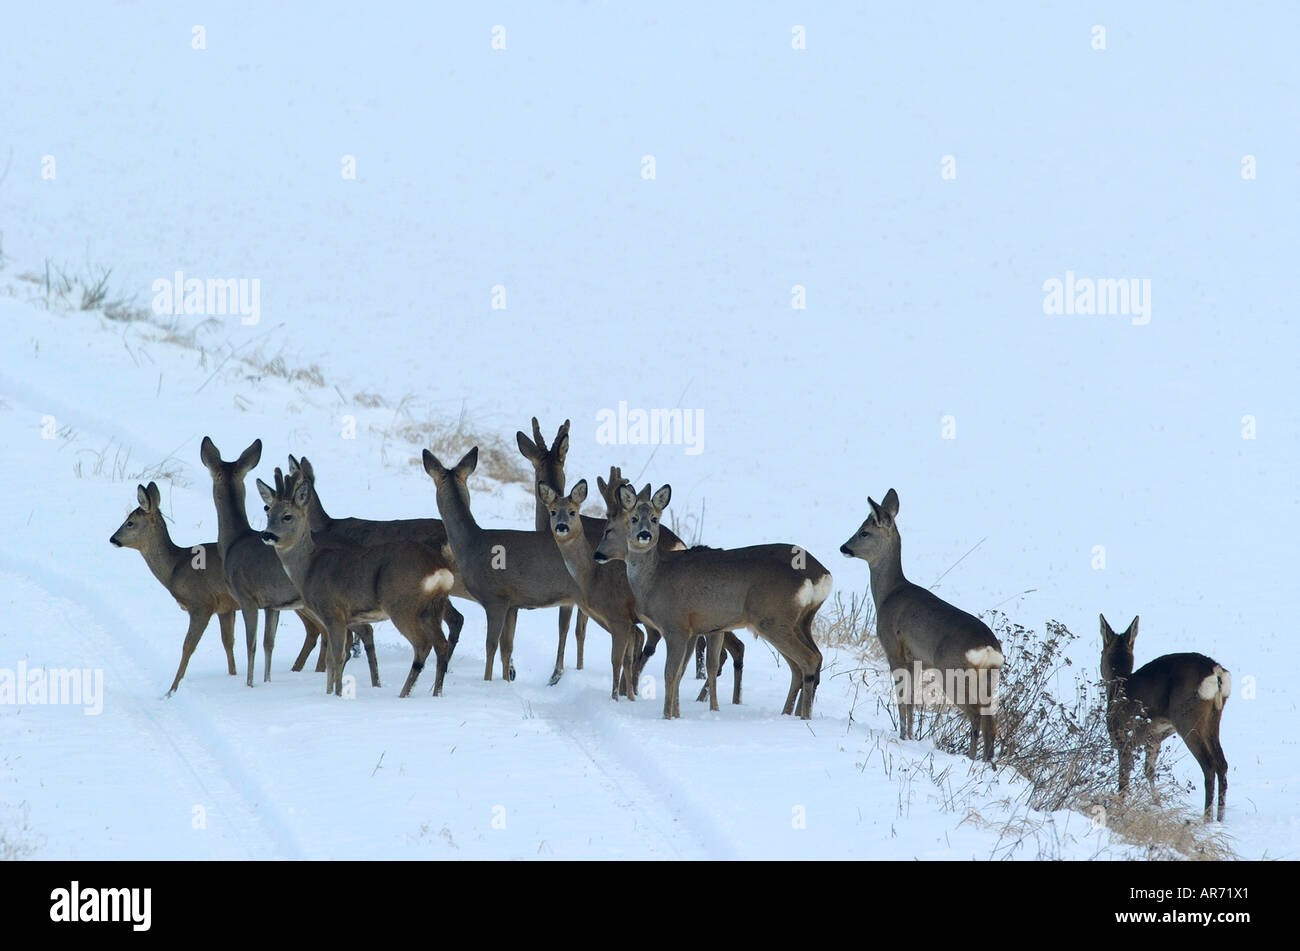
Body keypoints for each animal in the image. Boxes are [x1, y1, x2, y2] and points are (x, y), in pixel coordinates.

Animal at [259, 469, 456, 697]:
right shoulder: (346, 618)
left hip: (402, 605)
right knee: (441, 644)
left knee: (422, 644)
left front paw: (336, 694)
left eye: (287, 516)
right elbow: (333, 658)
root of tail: (438, 567)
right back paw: (436, 693)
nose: (267, 534)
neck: (308, 568)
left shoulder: (332, 612)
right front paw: (330, 692)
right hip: (433, 607)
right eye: (268, 513)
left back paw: (404, 694)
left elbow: (336, 657)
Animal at [840, 489, 1003, 762]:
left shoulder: (894, 648)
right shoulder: (917, 659)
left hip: (952, 671)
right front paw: (911, 736)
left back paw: (971, 759)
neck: (889, 593)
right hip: (990, 678)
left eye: (864, 532)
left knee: (976, 716)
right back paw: (987, 764)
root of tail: (989, 648)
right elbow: (912, 699)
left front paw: (903, 736)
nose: (844, 547)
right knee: (992, 722)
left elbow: (902, 698)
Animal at [1099, 614, 1230, 822]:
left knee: (1208, 765)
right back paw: (1219, 818)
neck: (1117, 687)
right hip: (1213, 719)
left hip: (1188, 718)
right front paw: (1158, 805)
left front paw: (1118, 811)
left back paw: (1206, 819)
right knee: (1222, 764)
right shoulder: (1154, 736)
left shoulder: (1122, 737)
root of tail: (1216, 671)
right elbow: (1149, 770)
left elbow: (1124, 779)